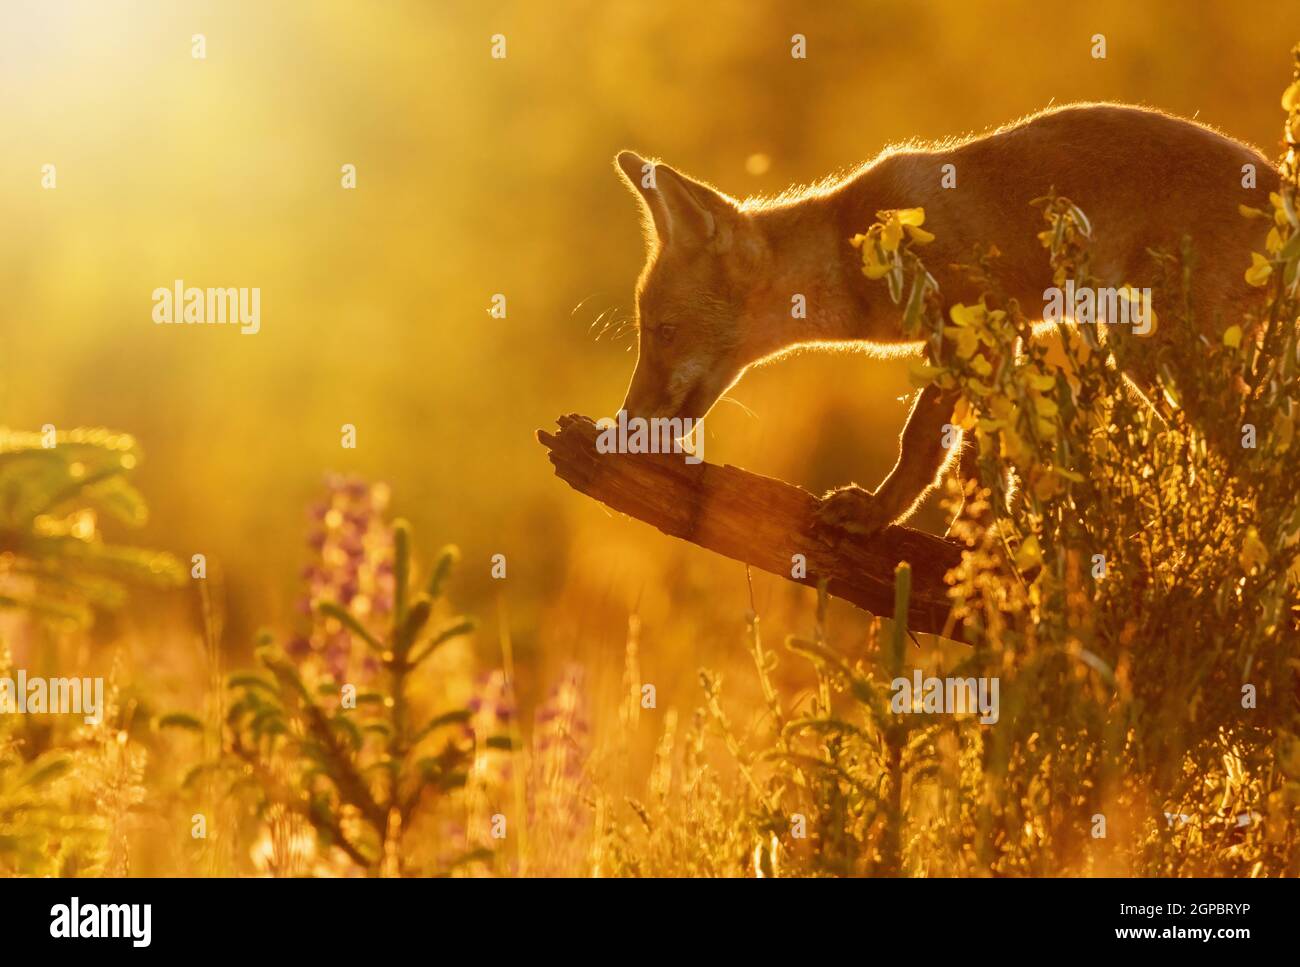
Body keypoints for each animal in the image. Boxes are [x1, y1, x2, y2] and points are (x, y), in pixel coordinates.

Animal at [613, 103, 1279, 537]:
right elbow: (977, 453)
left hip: (1156, 351)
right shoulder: (991, 339)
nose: (621, 426)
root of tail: (1279, 182)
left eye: (663, 333)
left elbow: (924, 445)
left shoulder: (976, 323)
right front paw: (979, 538)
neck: (847, 259)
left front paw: (881, 517)